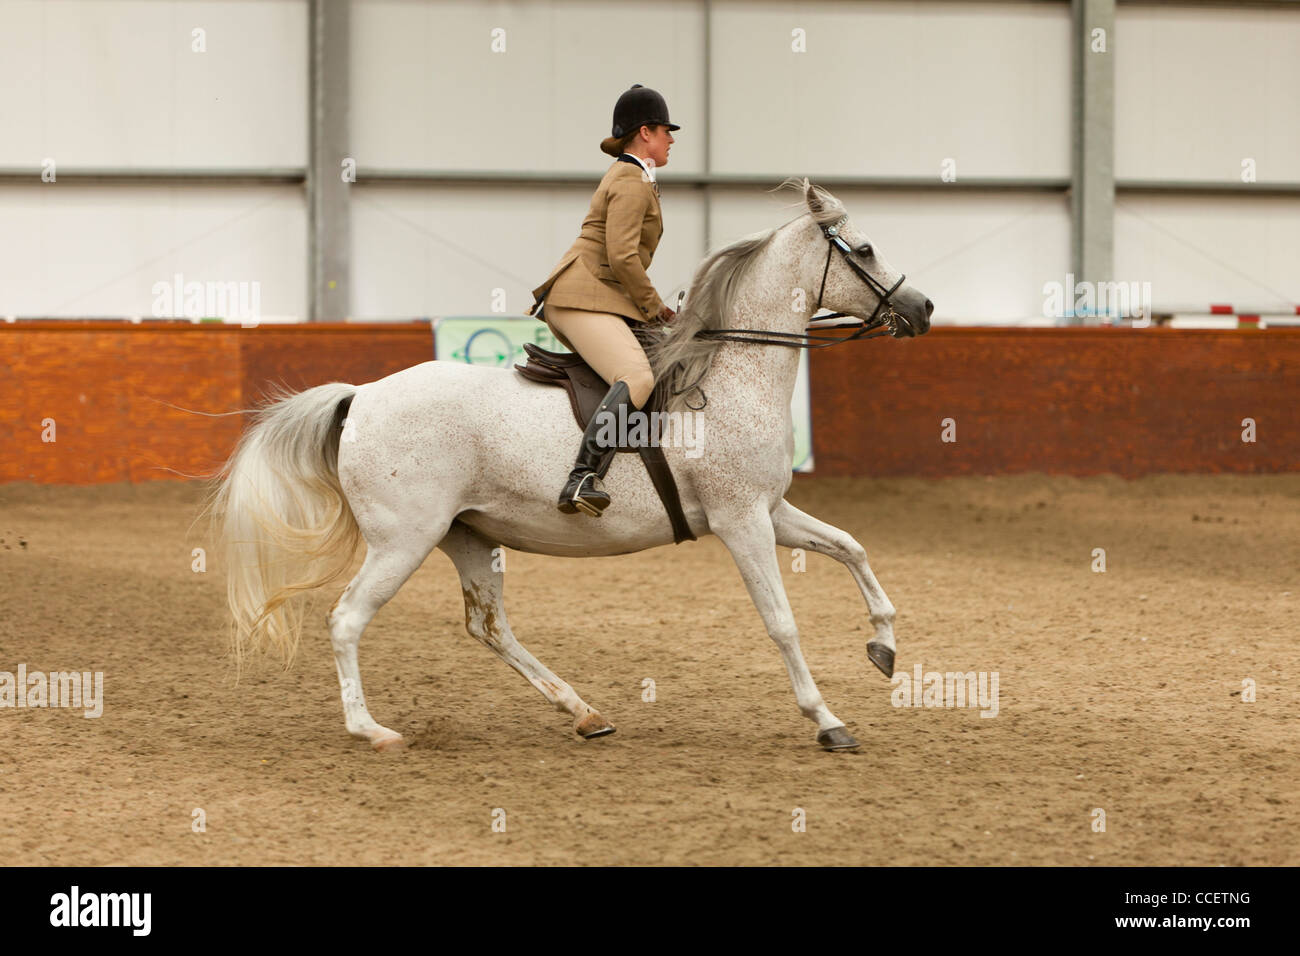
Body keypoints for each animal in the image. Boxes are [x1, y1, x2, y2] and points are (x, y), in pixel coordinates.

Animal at [211, 178, 933, 752]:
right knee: (348, 620)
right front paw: (827, 720)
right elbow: (782, 622)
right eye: (865, 251)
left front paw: (883, 647)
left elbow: (851, 547)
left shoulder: (770, 509)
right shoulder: (741, 521)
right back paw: (372, 730)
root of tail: (361, 396)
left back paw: (583, 712)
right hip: (404, 541)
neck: (730, 373)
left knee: (489, 627)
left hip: (466, 537)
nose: (922, 309)